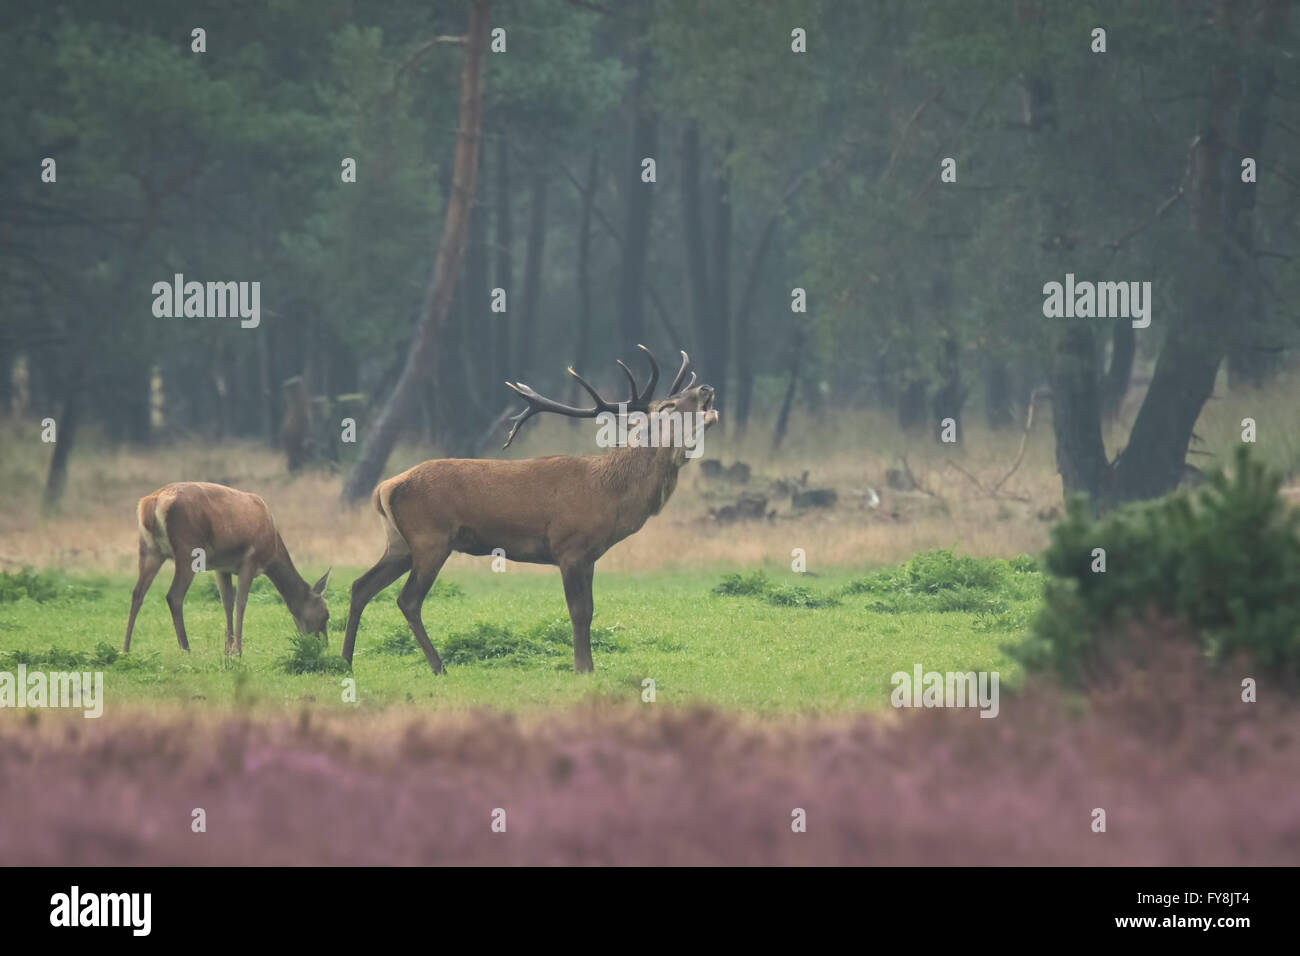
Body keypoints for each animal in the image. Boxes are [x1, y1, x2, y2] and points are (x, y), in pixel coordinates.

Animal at [122, 482, 330, 655]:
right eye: (325, 614)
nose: (323, 645)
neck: (272, 553)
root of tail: (152, 503)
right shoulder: (250, 560)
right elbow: (241, 602)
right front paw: (237, 650)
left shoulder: (221, 567)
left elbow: (227, 603)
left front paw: (227, 649)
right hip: (188, 549)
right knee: (174, 596)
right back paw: (186, 648)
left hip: (149, 550)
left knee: (137, 593)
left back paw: (125, 649)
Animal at [342, 346, 717, 674]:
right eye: (668, 405)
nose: (706, 387)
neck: (608, 495)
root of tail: (385, 487)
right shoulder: (569, 547)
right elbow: (578, 611)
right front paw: (582, 668)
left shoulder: (590, 556)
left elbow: (590, 610)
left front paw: (590, 666)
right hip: (430, 538)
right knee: (407, 599)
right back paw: (437, 666)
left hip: (400, 543)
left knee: (361, 585)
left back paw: (344, 660)